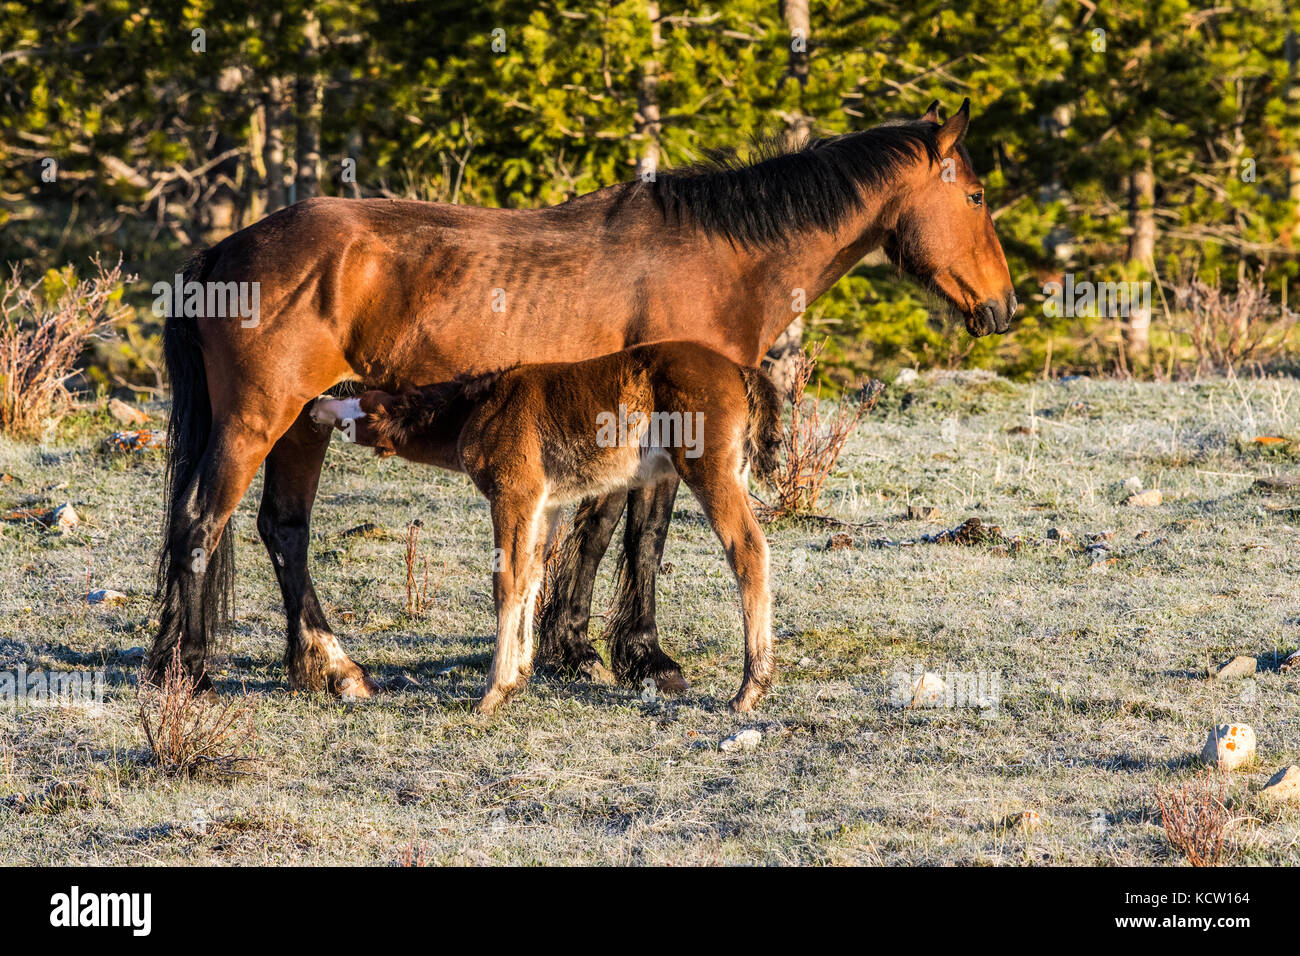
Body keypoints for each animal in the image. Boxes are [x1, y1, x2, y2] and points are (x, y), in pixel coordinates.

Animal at [309, 341, 783, 714]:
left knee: (749, 549)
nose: (316, 404)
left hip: (708, 471)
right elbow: (531, 579)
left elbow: (507, 582)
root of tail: (742, 371)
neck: (478, 408)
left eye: (363, 406)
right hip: (734, 473)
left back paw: (750, 689)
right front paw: (518, 675)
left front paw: (494, 692)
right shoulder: (545, 504)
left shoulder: (514, 495)